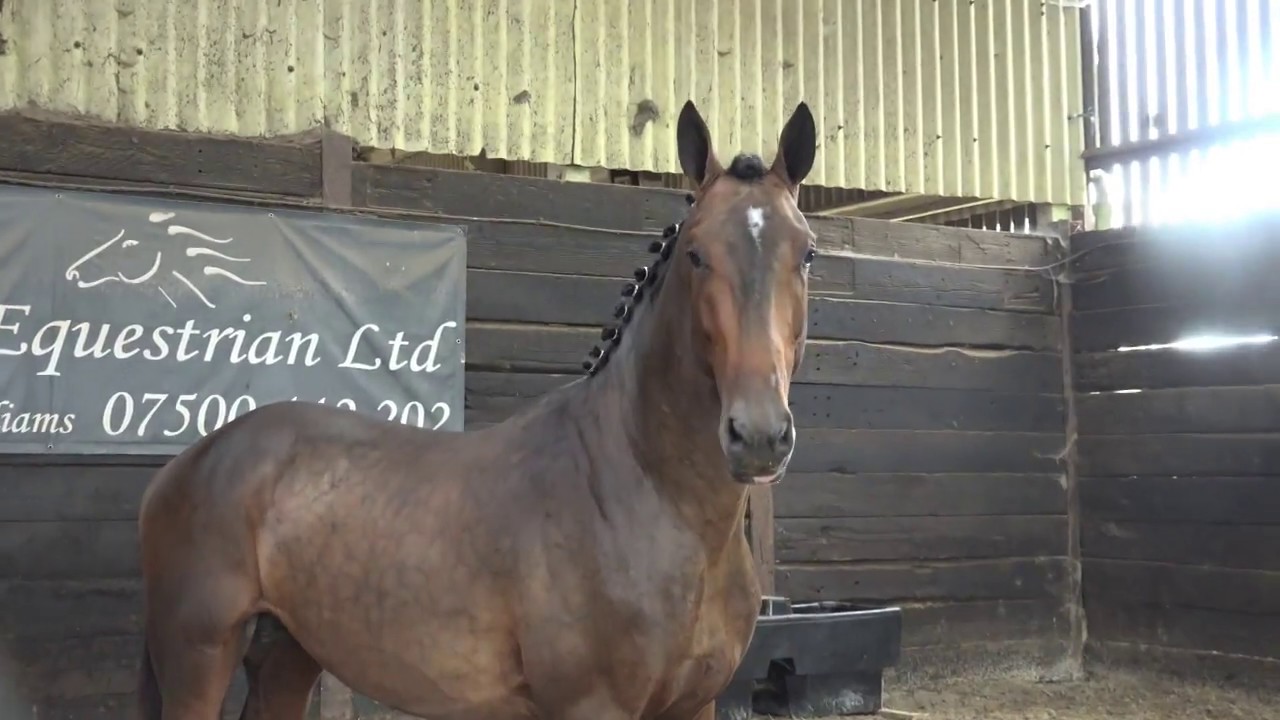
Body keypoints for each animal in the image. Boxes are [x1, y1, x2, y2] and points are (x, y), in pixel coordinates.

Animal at [135, 98, 819, 720]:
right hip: (199, 654)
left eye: (807, 252)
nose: (758, 435)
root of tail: (190, 462)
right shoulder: (592, 706)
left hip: (290, 652)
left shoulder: (695, 705)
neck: (648, 494)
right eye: (697, 254)